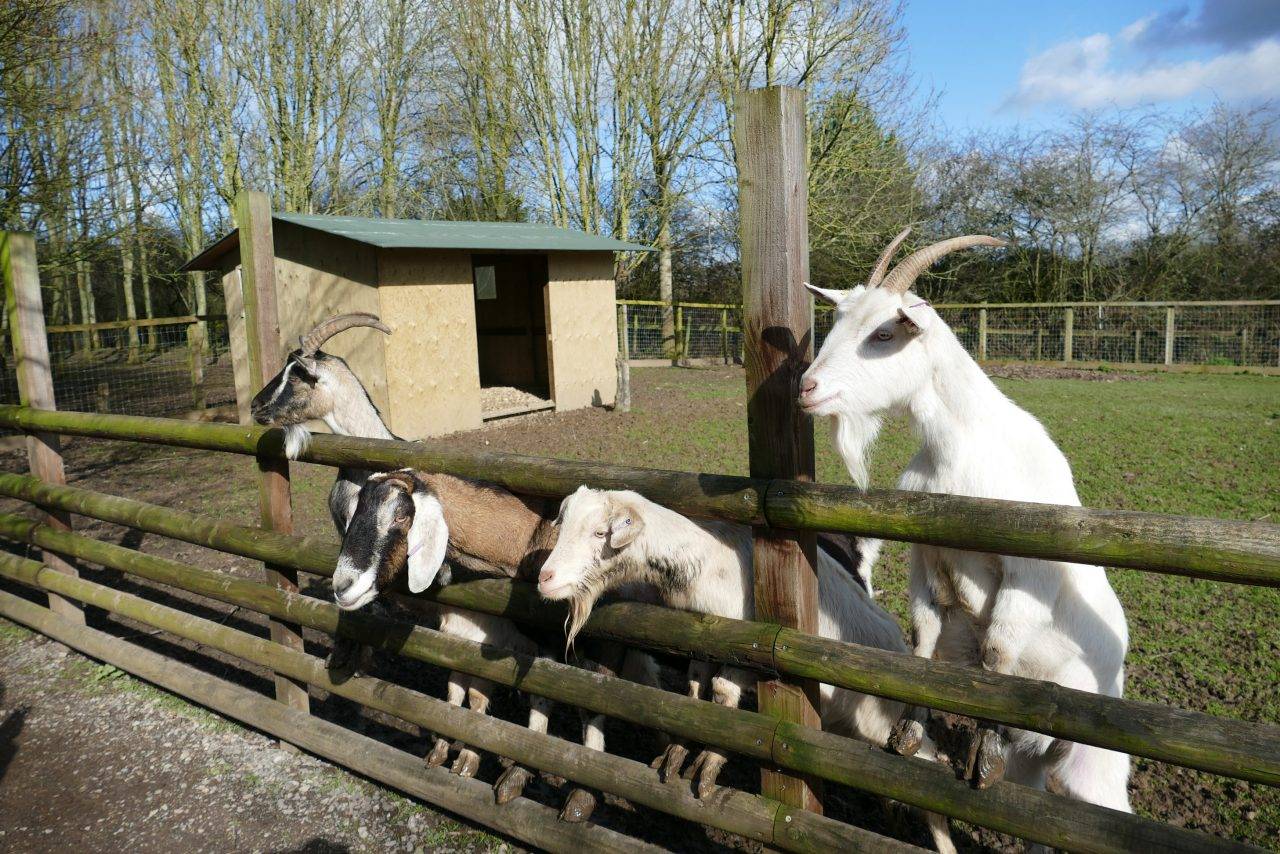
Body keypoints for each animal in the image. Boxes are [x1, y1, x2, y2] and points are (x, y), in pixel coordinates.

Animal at [538, 486, 955, 854]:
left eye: (599, 532)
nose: (545, 578)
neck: (705, 558)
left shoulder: (746, 652)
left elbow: (724, 693)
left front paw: (708, 766)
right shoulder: (699, 641)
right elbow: (694, 689)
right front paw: (676, 753)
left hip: (886, 725)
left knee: (928, 770)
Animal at [798, 229, 1131, 812]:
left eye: (884, 332)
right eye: (836, 320)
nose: (807, 389)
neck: (961, 450)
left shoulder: (1029, 571)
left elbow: (998, 653)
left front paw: (984, 756)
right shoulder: (926, 557)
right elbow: (923, 643)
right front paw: (907, 734)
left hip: (1093, 764)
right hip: (1035, 761)